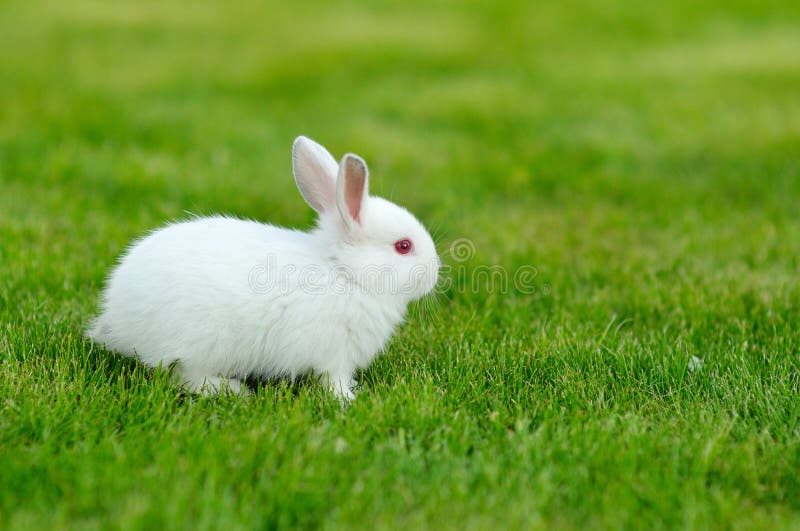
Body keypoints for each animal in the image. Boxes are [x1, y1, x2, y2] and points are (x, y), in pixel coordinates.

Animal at [88, 136, 440, 400]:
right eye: (403, 246)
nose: (436, 272)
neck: (346, 273)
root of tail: (118, 317)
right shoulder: (334, 354)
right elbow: (333, 381)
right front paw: (348, 399)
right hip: (201, 344)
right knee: (184, 376)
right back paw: (232, 390)